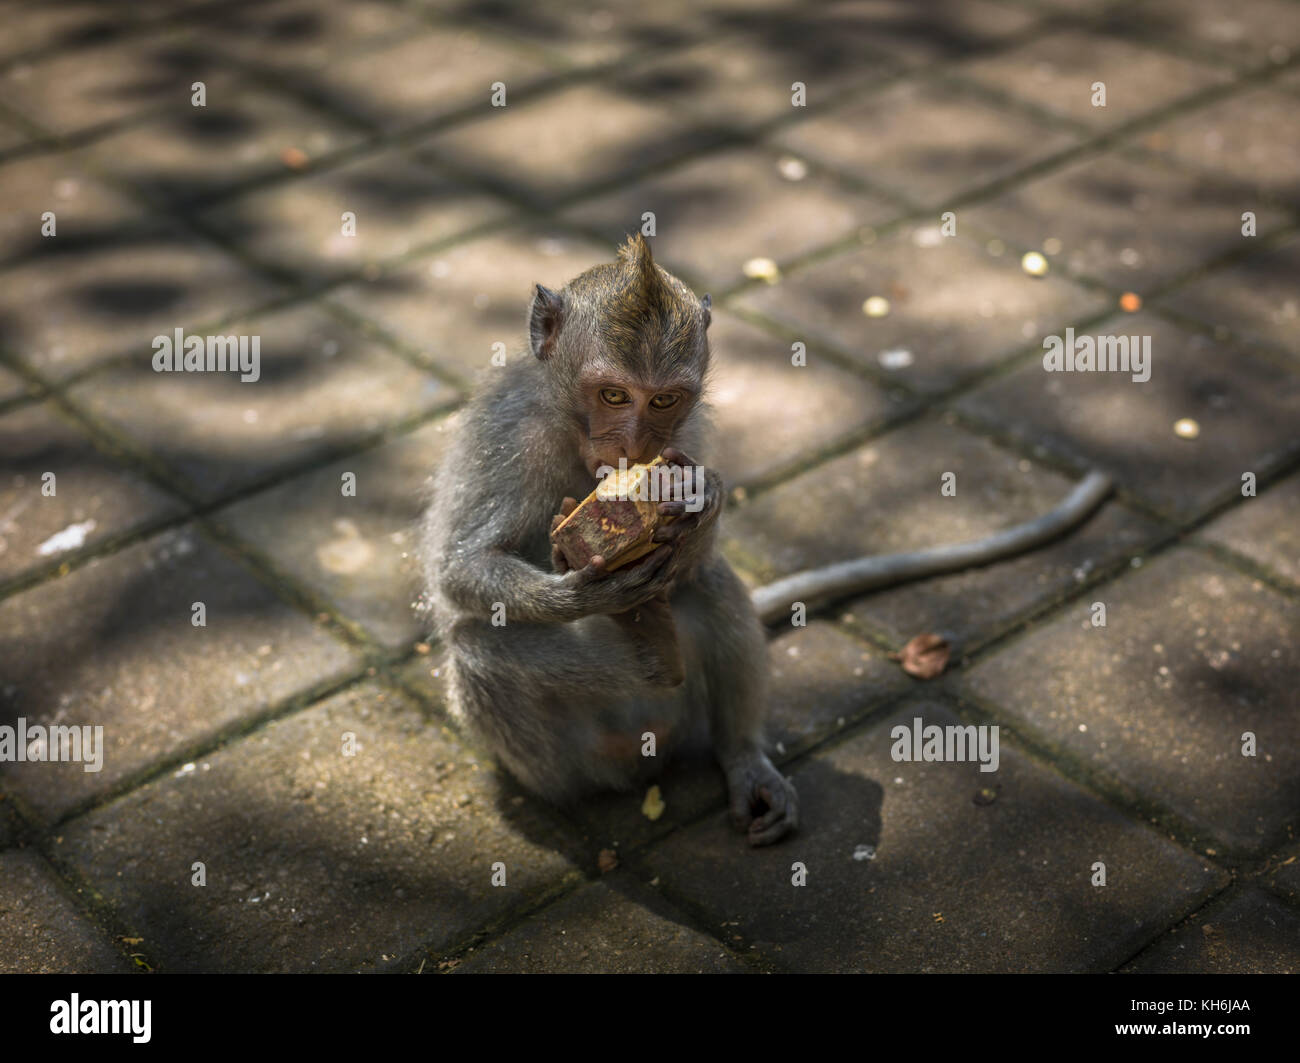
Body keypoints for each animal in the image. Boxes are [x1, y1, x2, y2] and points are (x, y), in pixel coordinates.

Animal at [418, 233, 1113, 847]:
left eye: (663, 401)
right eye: (612, 394)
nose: (633, 446)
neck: (570, 422)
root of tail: (647, 759)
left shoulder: (687, 434)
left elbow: (693, 557)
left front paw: (705, 501)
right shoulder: (511, 433)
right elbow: (462, 568)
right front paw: (590, 592)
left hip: (685, 718)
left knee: (712, 587)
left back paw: (737, 753)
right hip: (564, 761)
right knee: (479, 645)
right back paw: (644, 660)